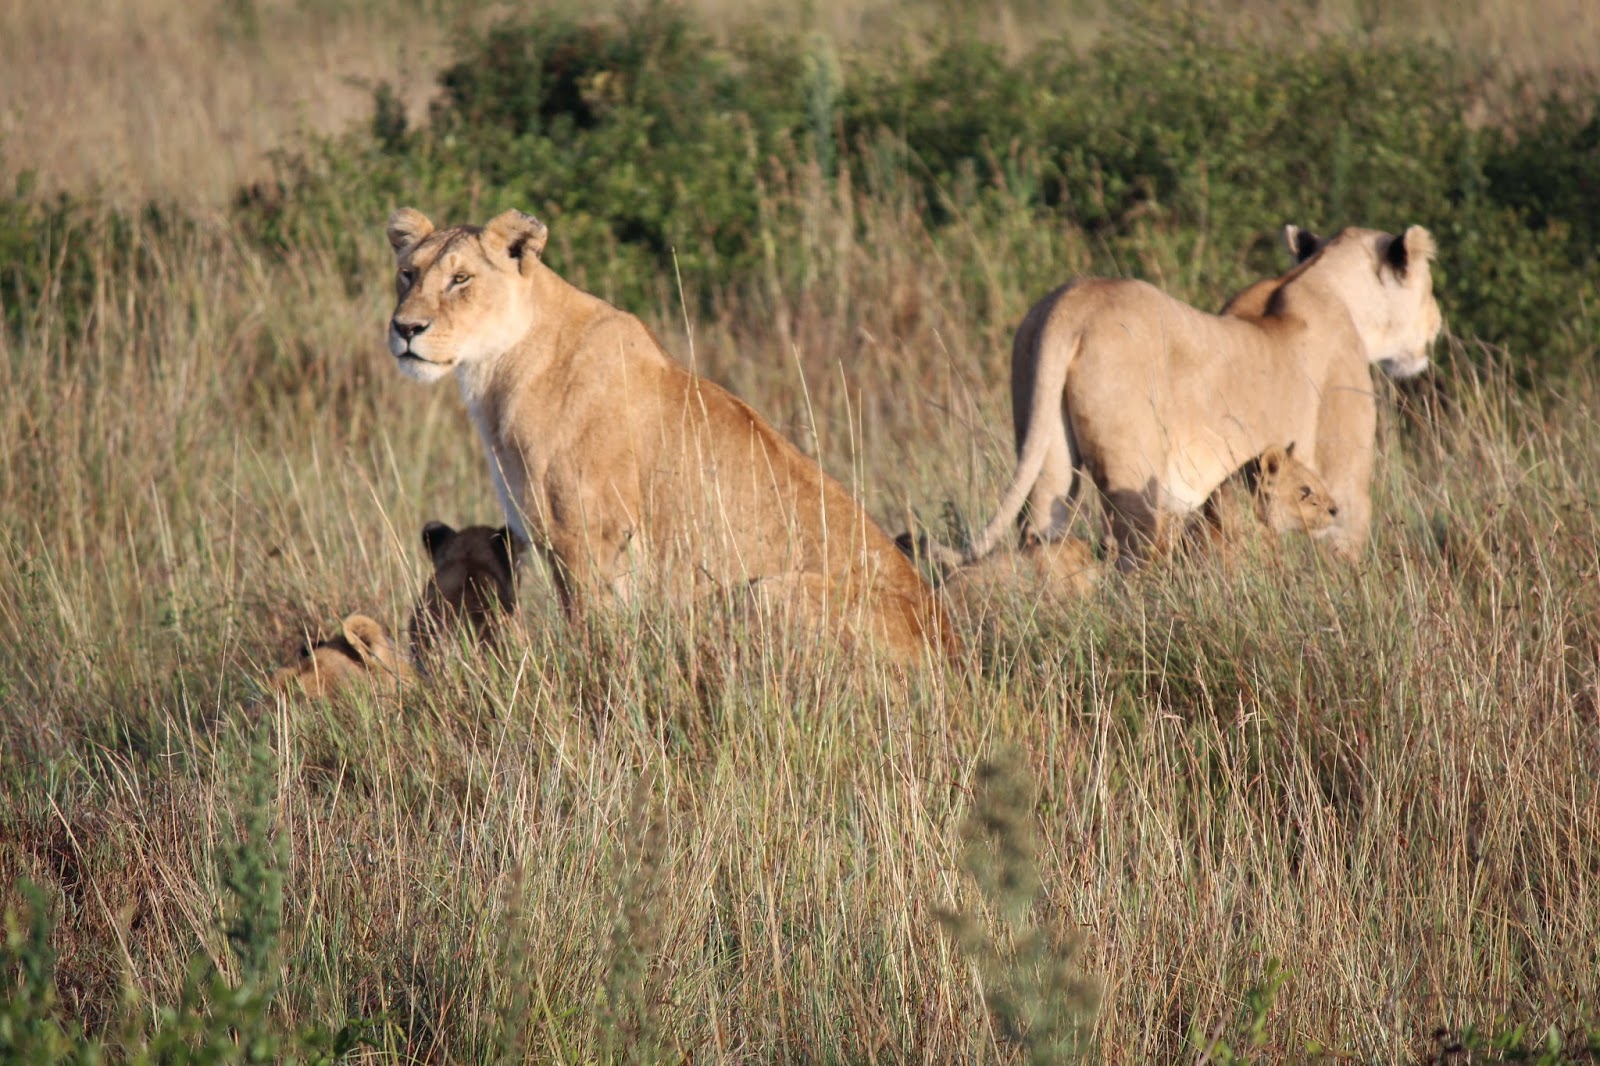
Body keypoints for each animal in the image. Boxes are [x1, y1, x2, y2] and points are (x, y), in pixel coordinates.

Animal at [918, 224, 1440, 569]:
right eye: (1429, 283)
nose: (1438, 322)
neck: (1320, 282)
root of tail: (1075, 301)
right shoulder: (1345, 473)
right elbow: (1345, 542)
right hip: (1134, 471)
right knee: (1133, 552)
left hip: (1047, 451)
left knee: (1042, 530)